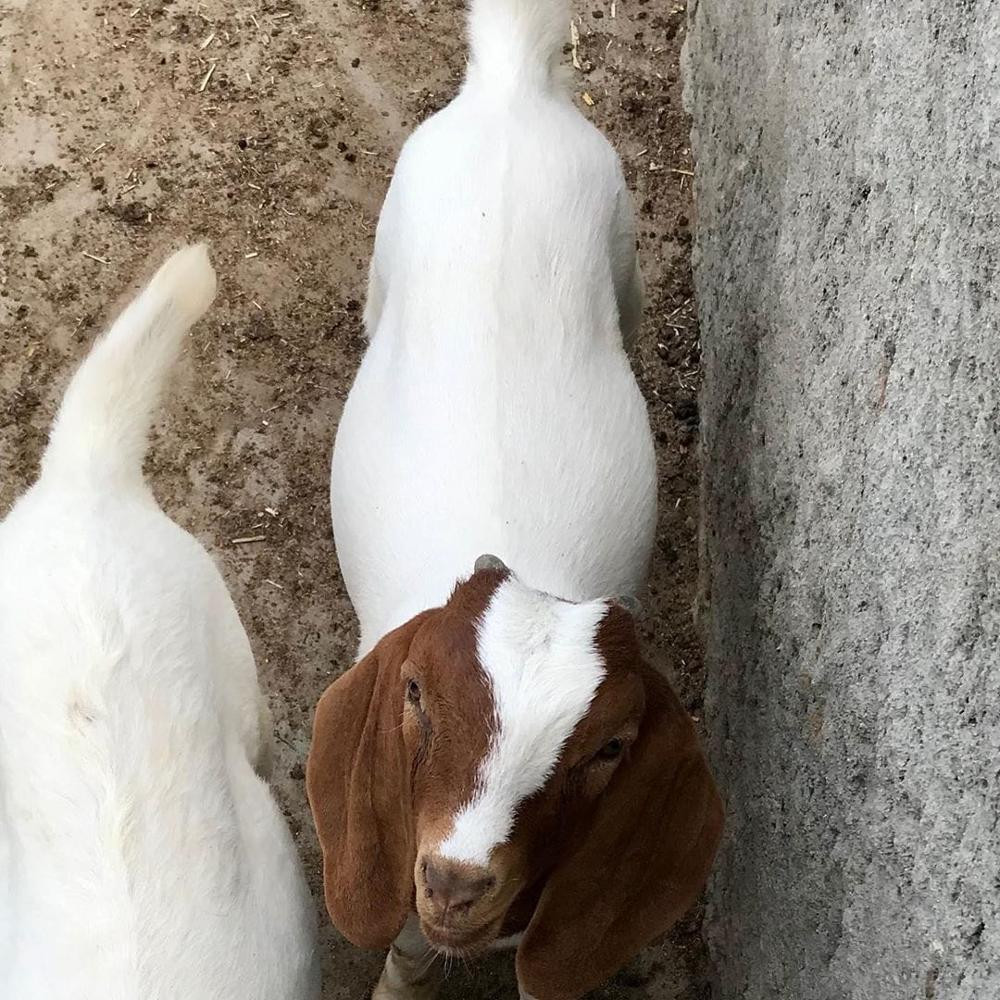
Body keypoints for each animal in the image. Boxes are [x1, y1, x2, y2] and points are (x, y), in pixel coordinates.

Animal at [309, 2, 723, 998]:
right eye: (415, 694)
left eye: (609, 748)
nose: (458, 881)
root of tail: (509, 90)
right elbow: (406, 948)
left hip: (619, 243)